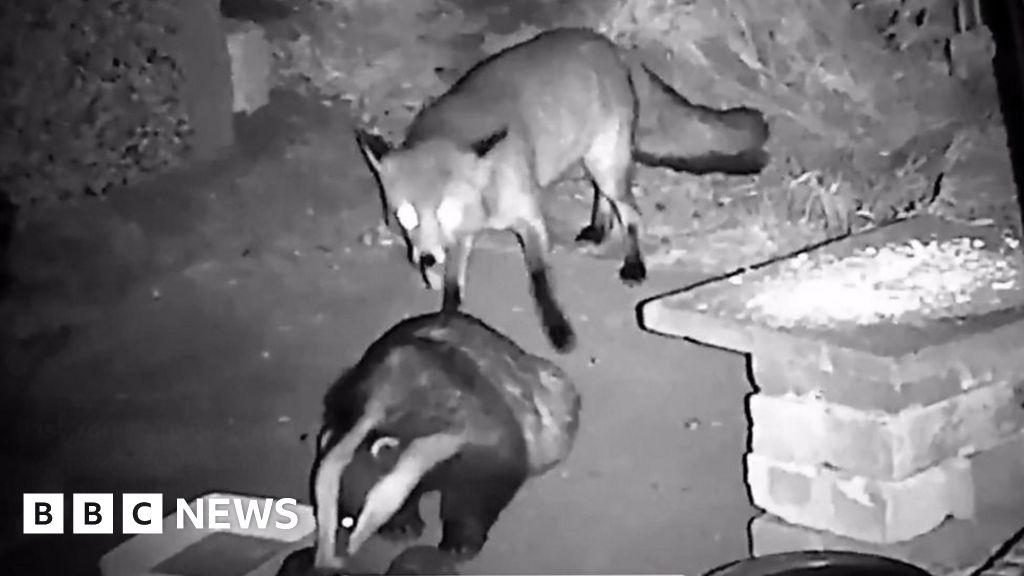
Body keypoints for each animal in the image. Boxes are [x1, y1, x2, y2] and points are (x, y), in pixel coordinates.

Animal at [355, 27, 771, 354]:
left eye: (445, 211)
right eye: (405, 216)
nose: (425, 259)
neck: (486, 202)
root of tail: (608, 43)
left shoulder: (529, 221)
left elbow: (540, 279)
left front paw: (558, 330)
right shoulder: (462, 237)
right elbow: (453, 288)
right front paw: (445, 322)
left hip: (607, 163)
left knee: (630, 212)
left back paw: (633, 263)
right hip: (593, 161)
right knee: (604, 197)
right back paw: (599, 227)